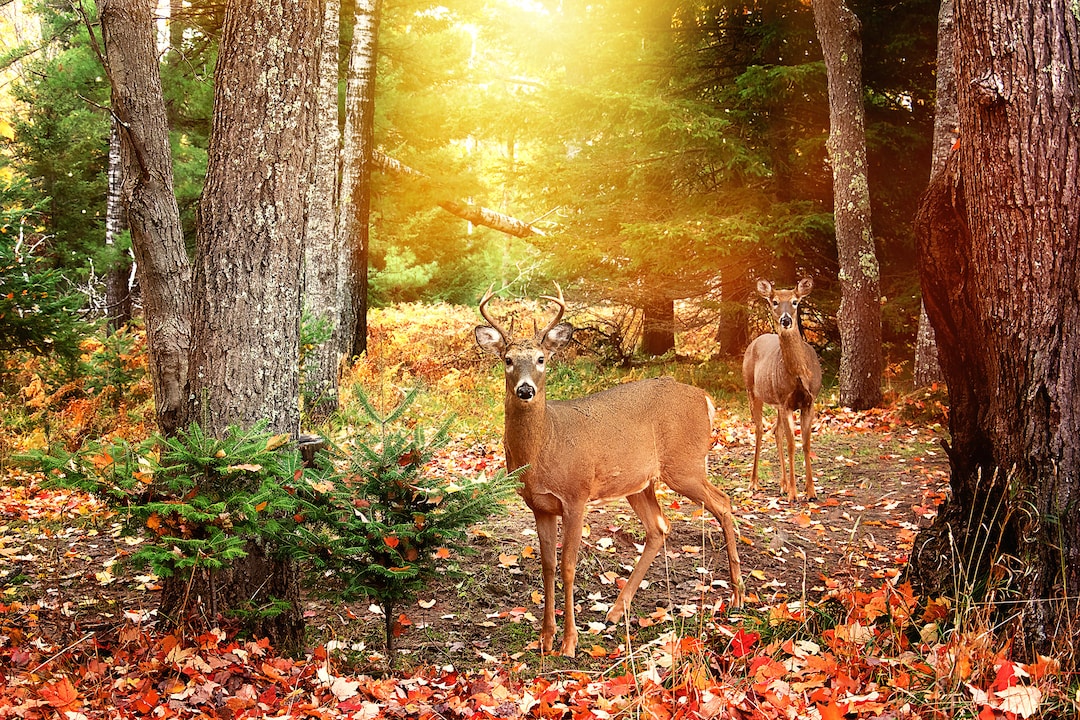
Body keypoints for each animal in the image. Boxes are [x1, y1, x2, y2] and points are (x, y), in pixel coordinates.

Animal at [474, 286, 744, 658]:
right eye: (508, 359)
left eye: (542, 359)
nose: (525, 389)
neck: (546, 445)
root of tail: (705, 399)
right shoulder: (540, 505)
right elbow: (547, 566)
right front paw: (545, 639)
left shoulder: (576, 495)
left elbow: (569, 566)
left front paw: (569, 642)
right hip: (640, 482)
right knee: (660, 527)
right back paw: (617, 610)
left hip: (685, 465)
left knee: (723, 503)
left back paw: (738, 596)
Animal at [742, 277, 823, 502]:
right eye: (775, 302)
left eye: (795, 301)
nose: (786, 320)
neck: (799, 375)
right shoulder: (786, 403)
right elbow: (791, 444)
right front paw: (794, 494)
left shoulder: (809, 401)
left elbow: (806, 443)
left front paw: (811, 492)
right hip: (752, 391)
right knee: (760, 431)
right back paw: (754, 482)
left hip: (775, 401)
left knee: (775, 431)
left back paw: (783, 485)